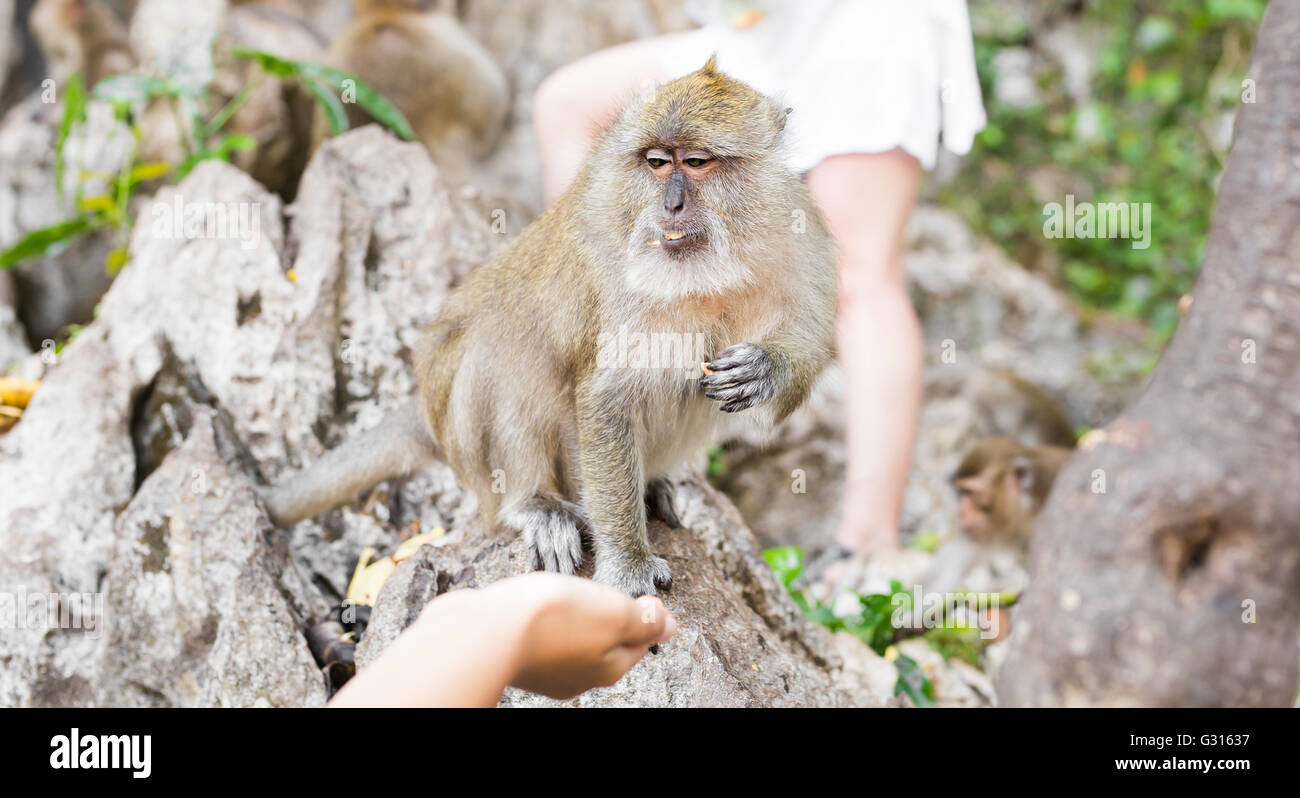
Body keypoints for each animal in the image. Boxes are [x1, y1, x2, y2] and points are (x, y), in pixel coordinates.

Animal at [263, 58, 838, 596]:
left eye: (695, 163)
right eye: (656, 163)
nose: (670, 204)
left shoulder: (800, 231)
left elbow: (810, 345)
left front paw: (766, 368)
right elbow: (605, 397)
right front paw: (627, 562)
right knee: (501, 350)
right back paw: (534, 502)